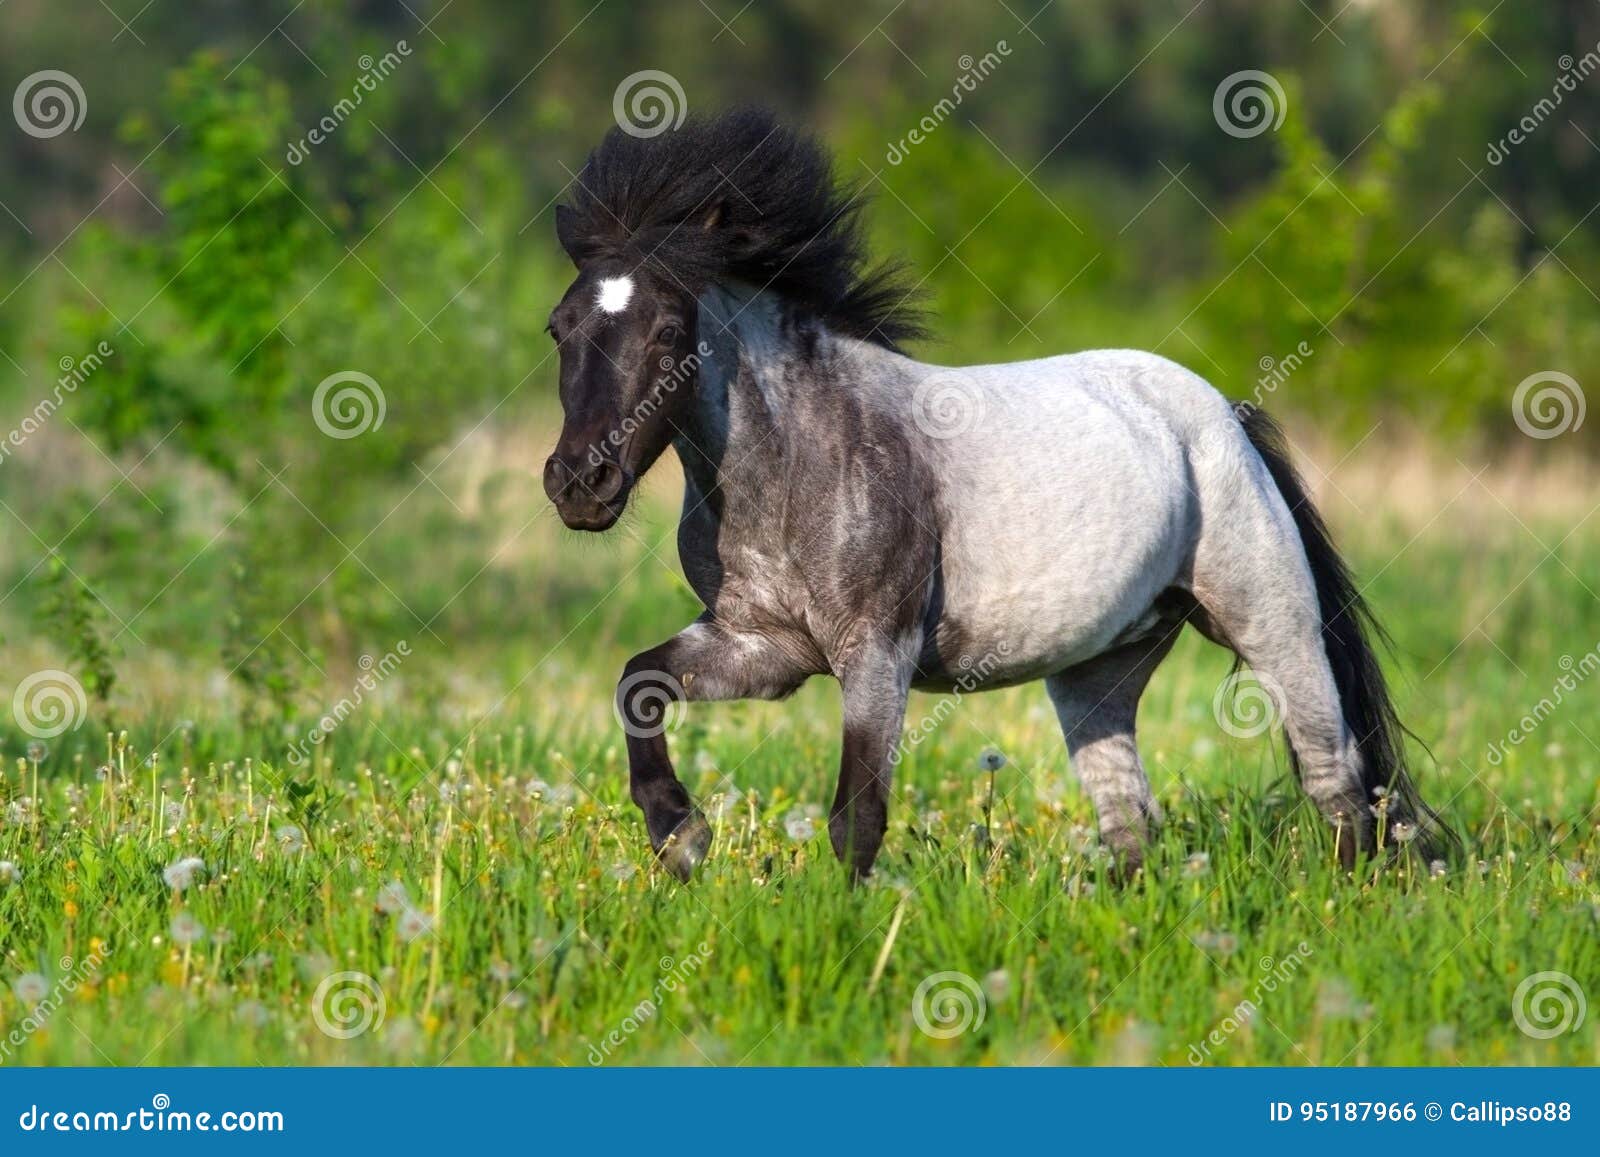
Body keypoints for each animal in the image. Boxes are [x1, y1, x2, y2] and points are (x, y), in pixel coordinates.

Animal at [540, 106, 1445, 882]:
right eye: (560, 327)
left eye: (668, 332)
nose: (579, 483)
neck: (794, 468)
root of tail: (1224, 413)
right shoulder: (763, 646)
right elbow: (639, 683)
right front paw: (682, 837)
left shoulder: (875, 653)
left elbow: (857, 815)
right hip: (1099, 670)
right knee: (1130, 820)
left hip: (1270, 622)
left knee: (1337, 779)